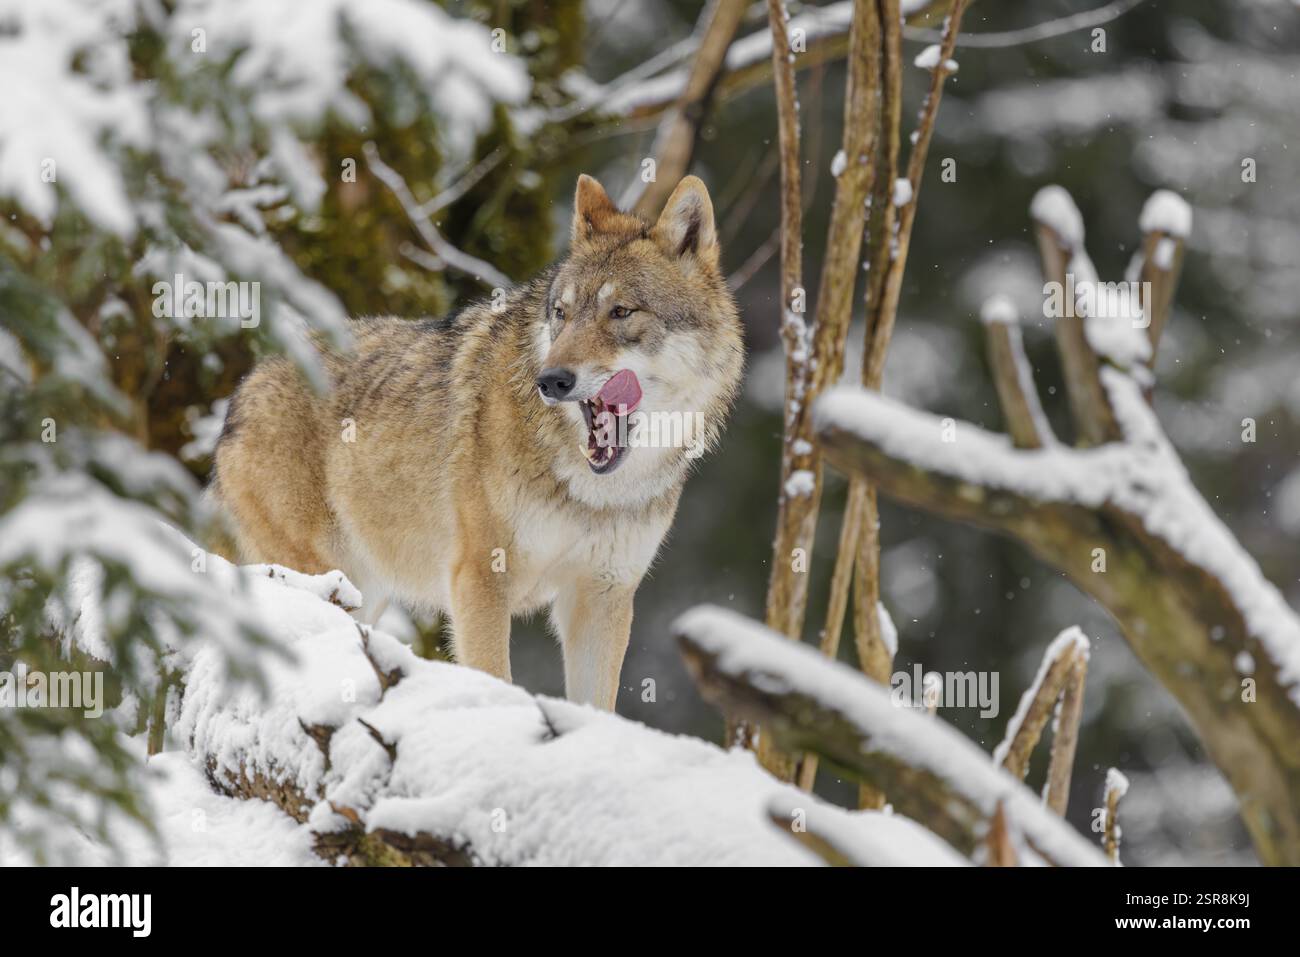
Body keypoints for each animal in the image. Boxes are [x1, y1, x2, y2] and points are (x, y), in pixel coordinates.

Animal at [211, 175, 744, 709]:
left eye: (621, 312)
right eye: (561, 313)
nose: (551, 381)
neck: (590, 490)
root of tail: (243, 389)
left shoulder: (603, 594)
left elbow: (597, 707)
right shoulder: (480, 578)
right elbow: (496, 680)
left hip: (363, 593)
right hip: (320, 580)